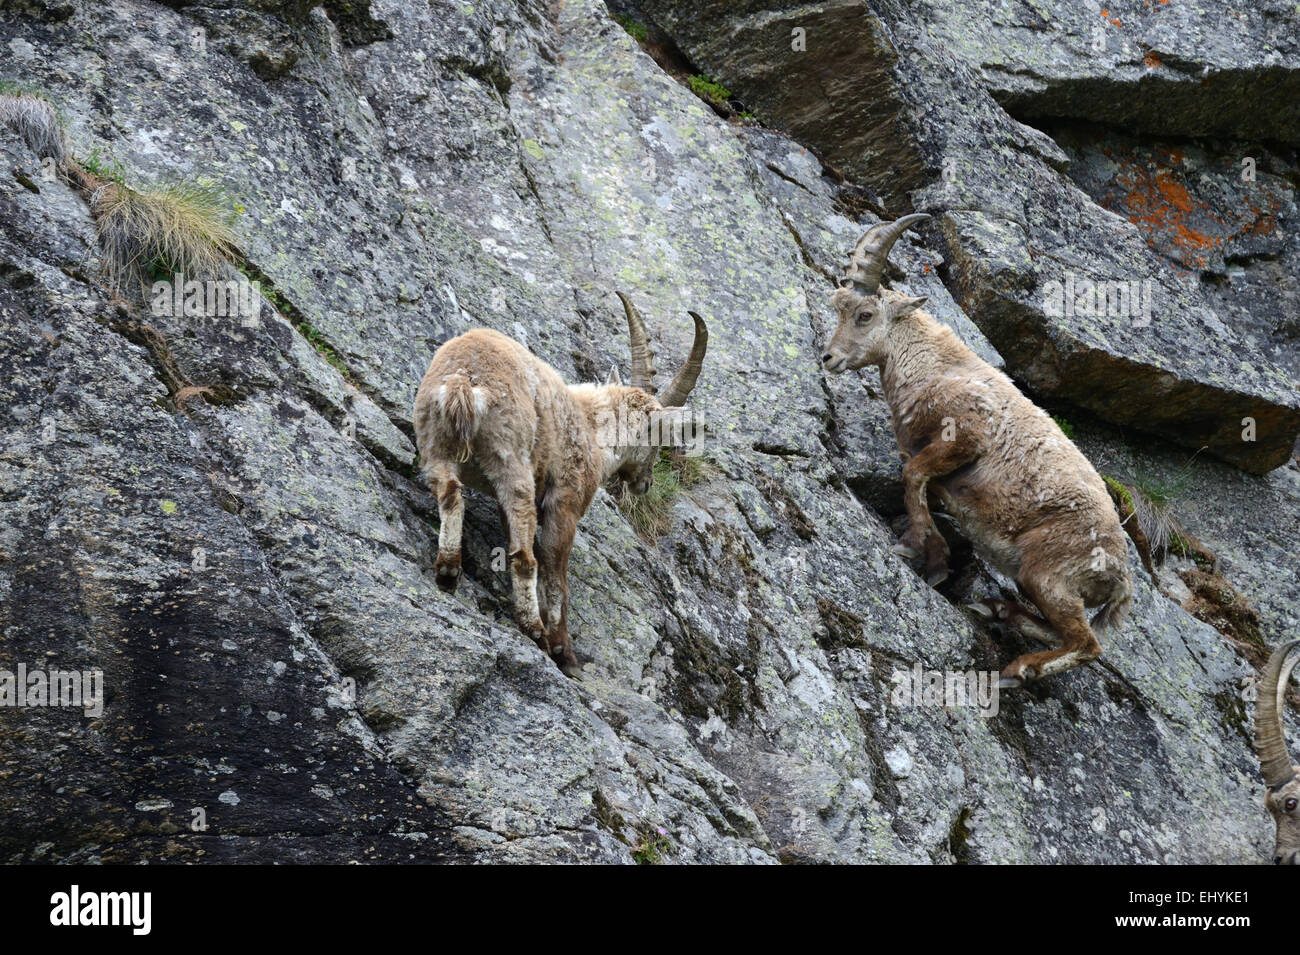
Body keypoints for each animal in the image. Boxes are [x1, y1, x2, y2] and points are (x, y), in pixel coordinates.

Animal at [413, 295, 706, 676]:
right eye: (657, 437)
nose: (646, 483)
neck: (593, 427)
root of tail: (463, 381)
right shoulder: (564, 502)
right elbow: (556, 577)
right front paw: (564, 652)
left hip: (435, 446)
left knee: (450, 494)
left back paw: (448, 570)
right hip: (512, 463)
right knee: (523, 557)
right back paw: (533, 629)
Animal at [821, 215, 1132, 687]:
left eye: (864, 314)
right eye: (838, 306)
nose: (828, 358)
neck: (936, 367)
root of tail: (1120, 578)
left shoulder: (966, 436)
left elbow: (913, 475)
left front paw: (914, 549)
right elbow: (924, 488)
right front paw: (937, 560)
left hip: (1049, 575)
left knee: (1087, 644)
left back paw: (1016, 669)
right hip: (1039, 581)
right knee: (1062, 630)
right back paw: (997, 610)